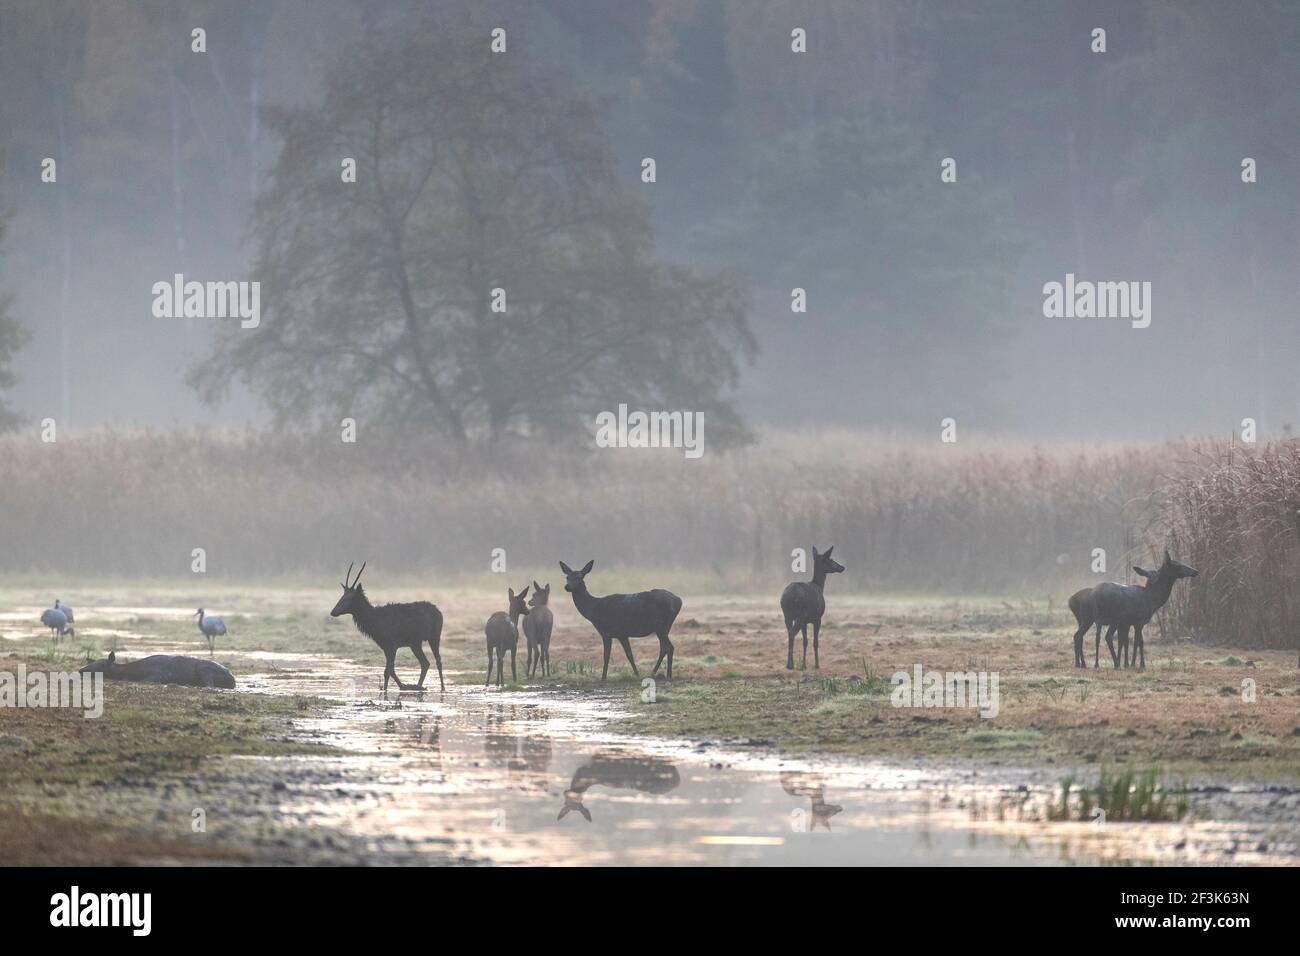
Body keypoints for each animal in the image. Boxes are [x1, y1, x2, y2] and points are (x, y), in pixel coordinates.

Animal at [329, 562, 444, 693]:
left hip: (434, 636)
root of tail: (439, 612)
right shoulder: (385, 646)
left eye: (349, 598)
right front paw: (402, 686)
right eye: (342, 596)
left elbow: (387, 671)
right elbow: (391, 670)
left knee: (437, 660)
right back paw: (419, 686)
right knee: (425, 663)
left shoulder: (392, 644)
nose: (333, 612)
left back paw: (441, 688)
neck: (374, 623)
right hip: (415, 643)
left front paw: (386, 690)